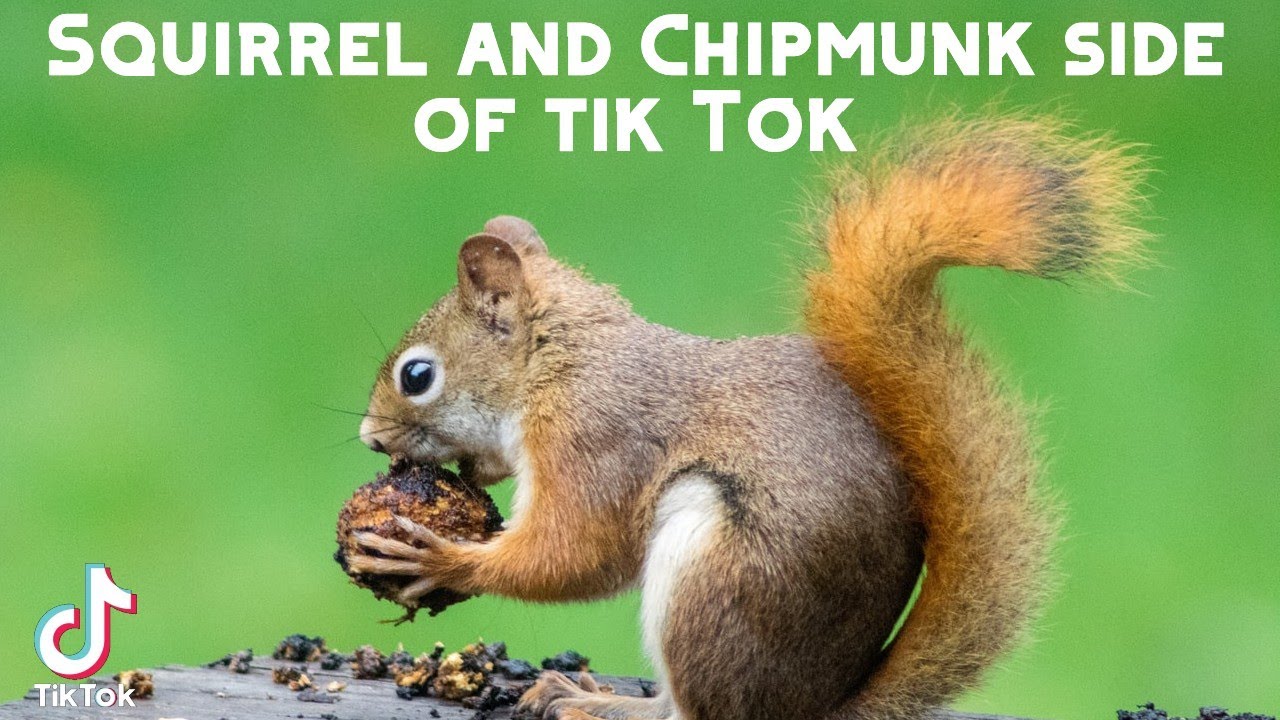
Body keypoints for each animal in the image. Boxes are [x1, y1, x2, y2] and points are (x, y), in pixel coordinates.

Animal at [347, 115, 1146, 720]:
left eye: (418, 375)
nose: (370, 438)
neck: (560, 363)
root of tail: (813, 707)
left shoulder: (596, 439)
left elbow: (576, 552)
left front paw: (438, 559)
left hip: (714, 578)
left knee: (694, 712)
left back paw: (603, 704)